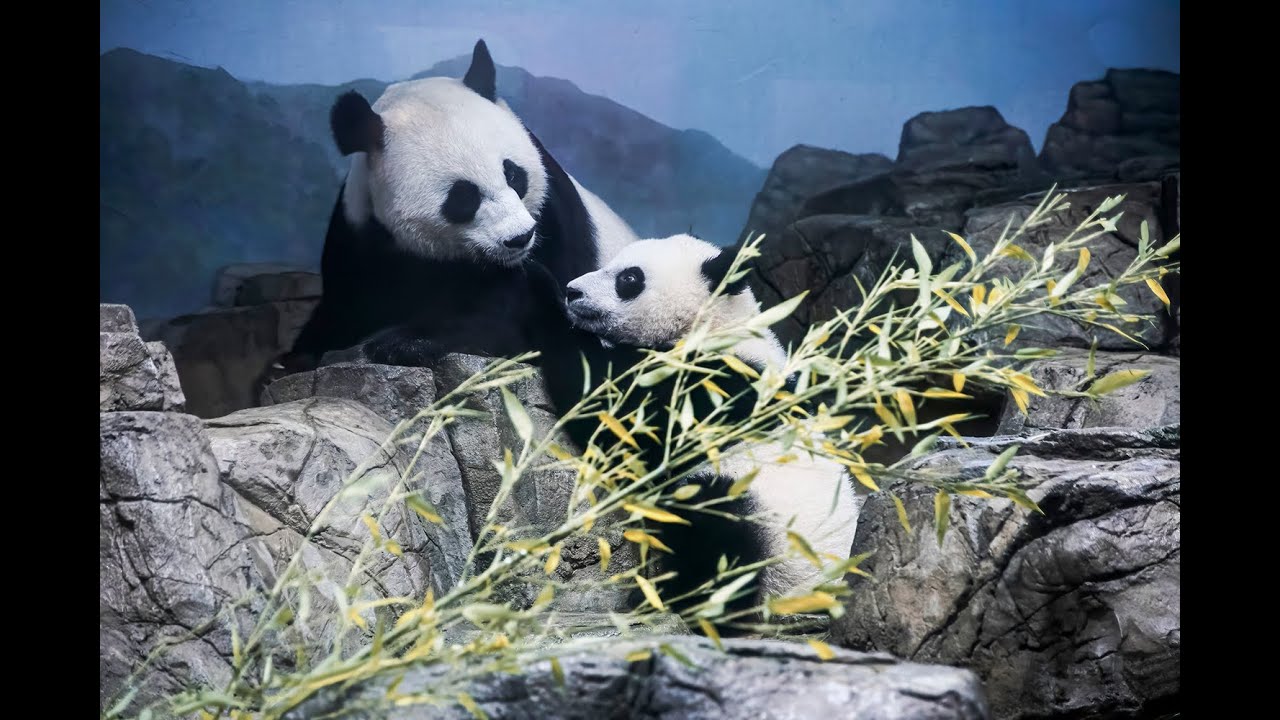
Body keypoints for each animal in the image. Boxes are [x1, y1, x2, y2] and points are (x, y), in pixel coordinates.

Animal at [270, 39, 638, 376]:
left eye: (513, 174)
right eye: (463, 197)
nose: (519, 238)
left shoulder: (553, 225)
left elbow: (515, 317)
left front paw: (404, 342)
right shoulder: (363, 237)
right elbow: (346, 305)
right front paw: (295, 358)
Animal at [526, 234, 861, 623]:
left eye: (629, 278)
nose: (573, 291)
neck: (716, 324)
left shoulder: (716, 388)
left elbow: (612, 404)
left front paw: (534, 287)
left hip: (777, 537)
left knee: (717, 525)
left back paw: (682, 600)